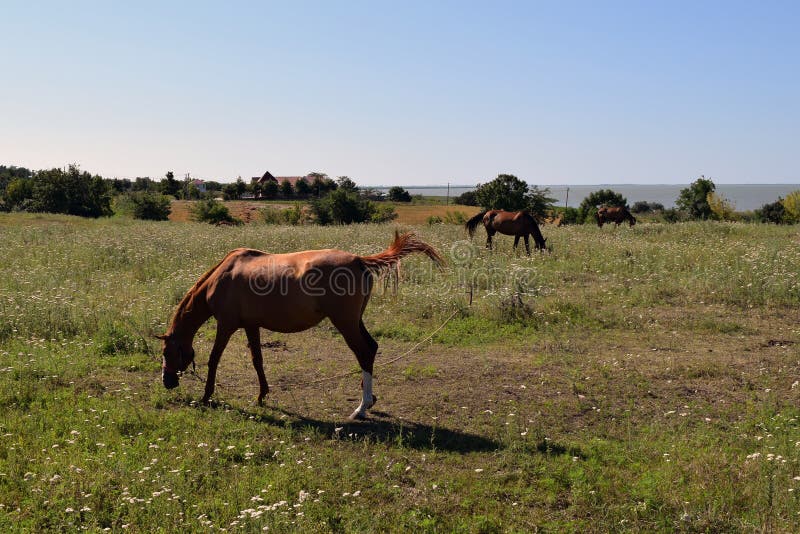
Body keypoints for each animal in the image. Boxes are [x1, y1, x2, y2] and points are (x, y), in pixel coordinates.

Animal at [156, 232, 443, 420]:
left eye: (168, 352)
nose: (167, 382)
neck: (223, 276)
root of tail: (358, 260)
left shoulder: (226, 326)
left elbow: (214, 359)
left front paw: (207, 395)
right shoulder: (251, 326)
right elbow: (257, 360)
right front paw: (262, 396)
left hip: (345, 323)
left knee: (363, 353)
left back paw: (360, 408)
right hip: (355, 321)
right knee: (371, 349)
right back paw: (369, 399)